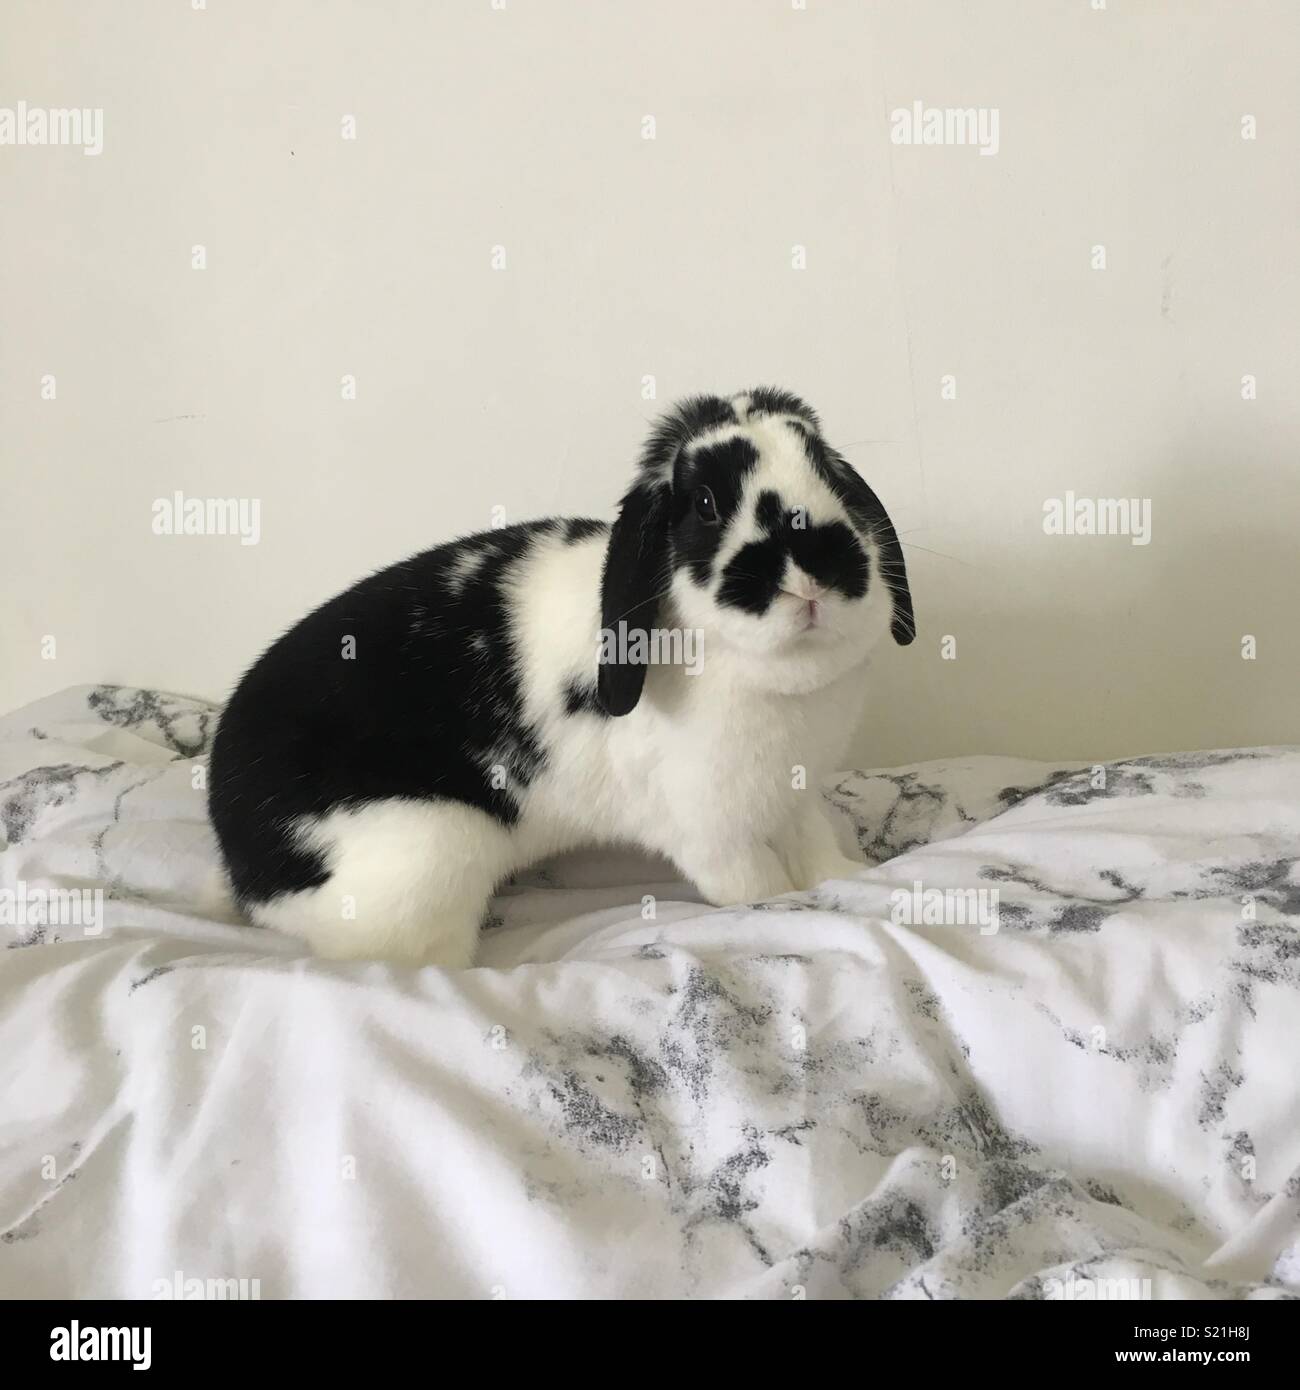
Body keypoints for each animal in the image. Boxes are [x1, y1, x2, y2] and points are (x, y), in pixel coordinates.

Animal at [208, 387, 914, 967]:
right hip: (421, 866)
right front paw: (790, 903)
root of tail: (238, 855)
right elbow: (757, 888)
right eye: (707, 504)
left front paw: (848, 874)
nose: (814, 570)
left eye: (827, 468)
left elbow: (817, 852)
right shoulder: (713, 829)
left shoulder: (794, 799)